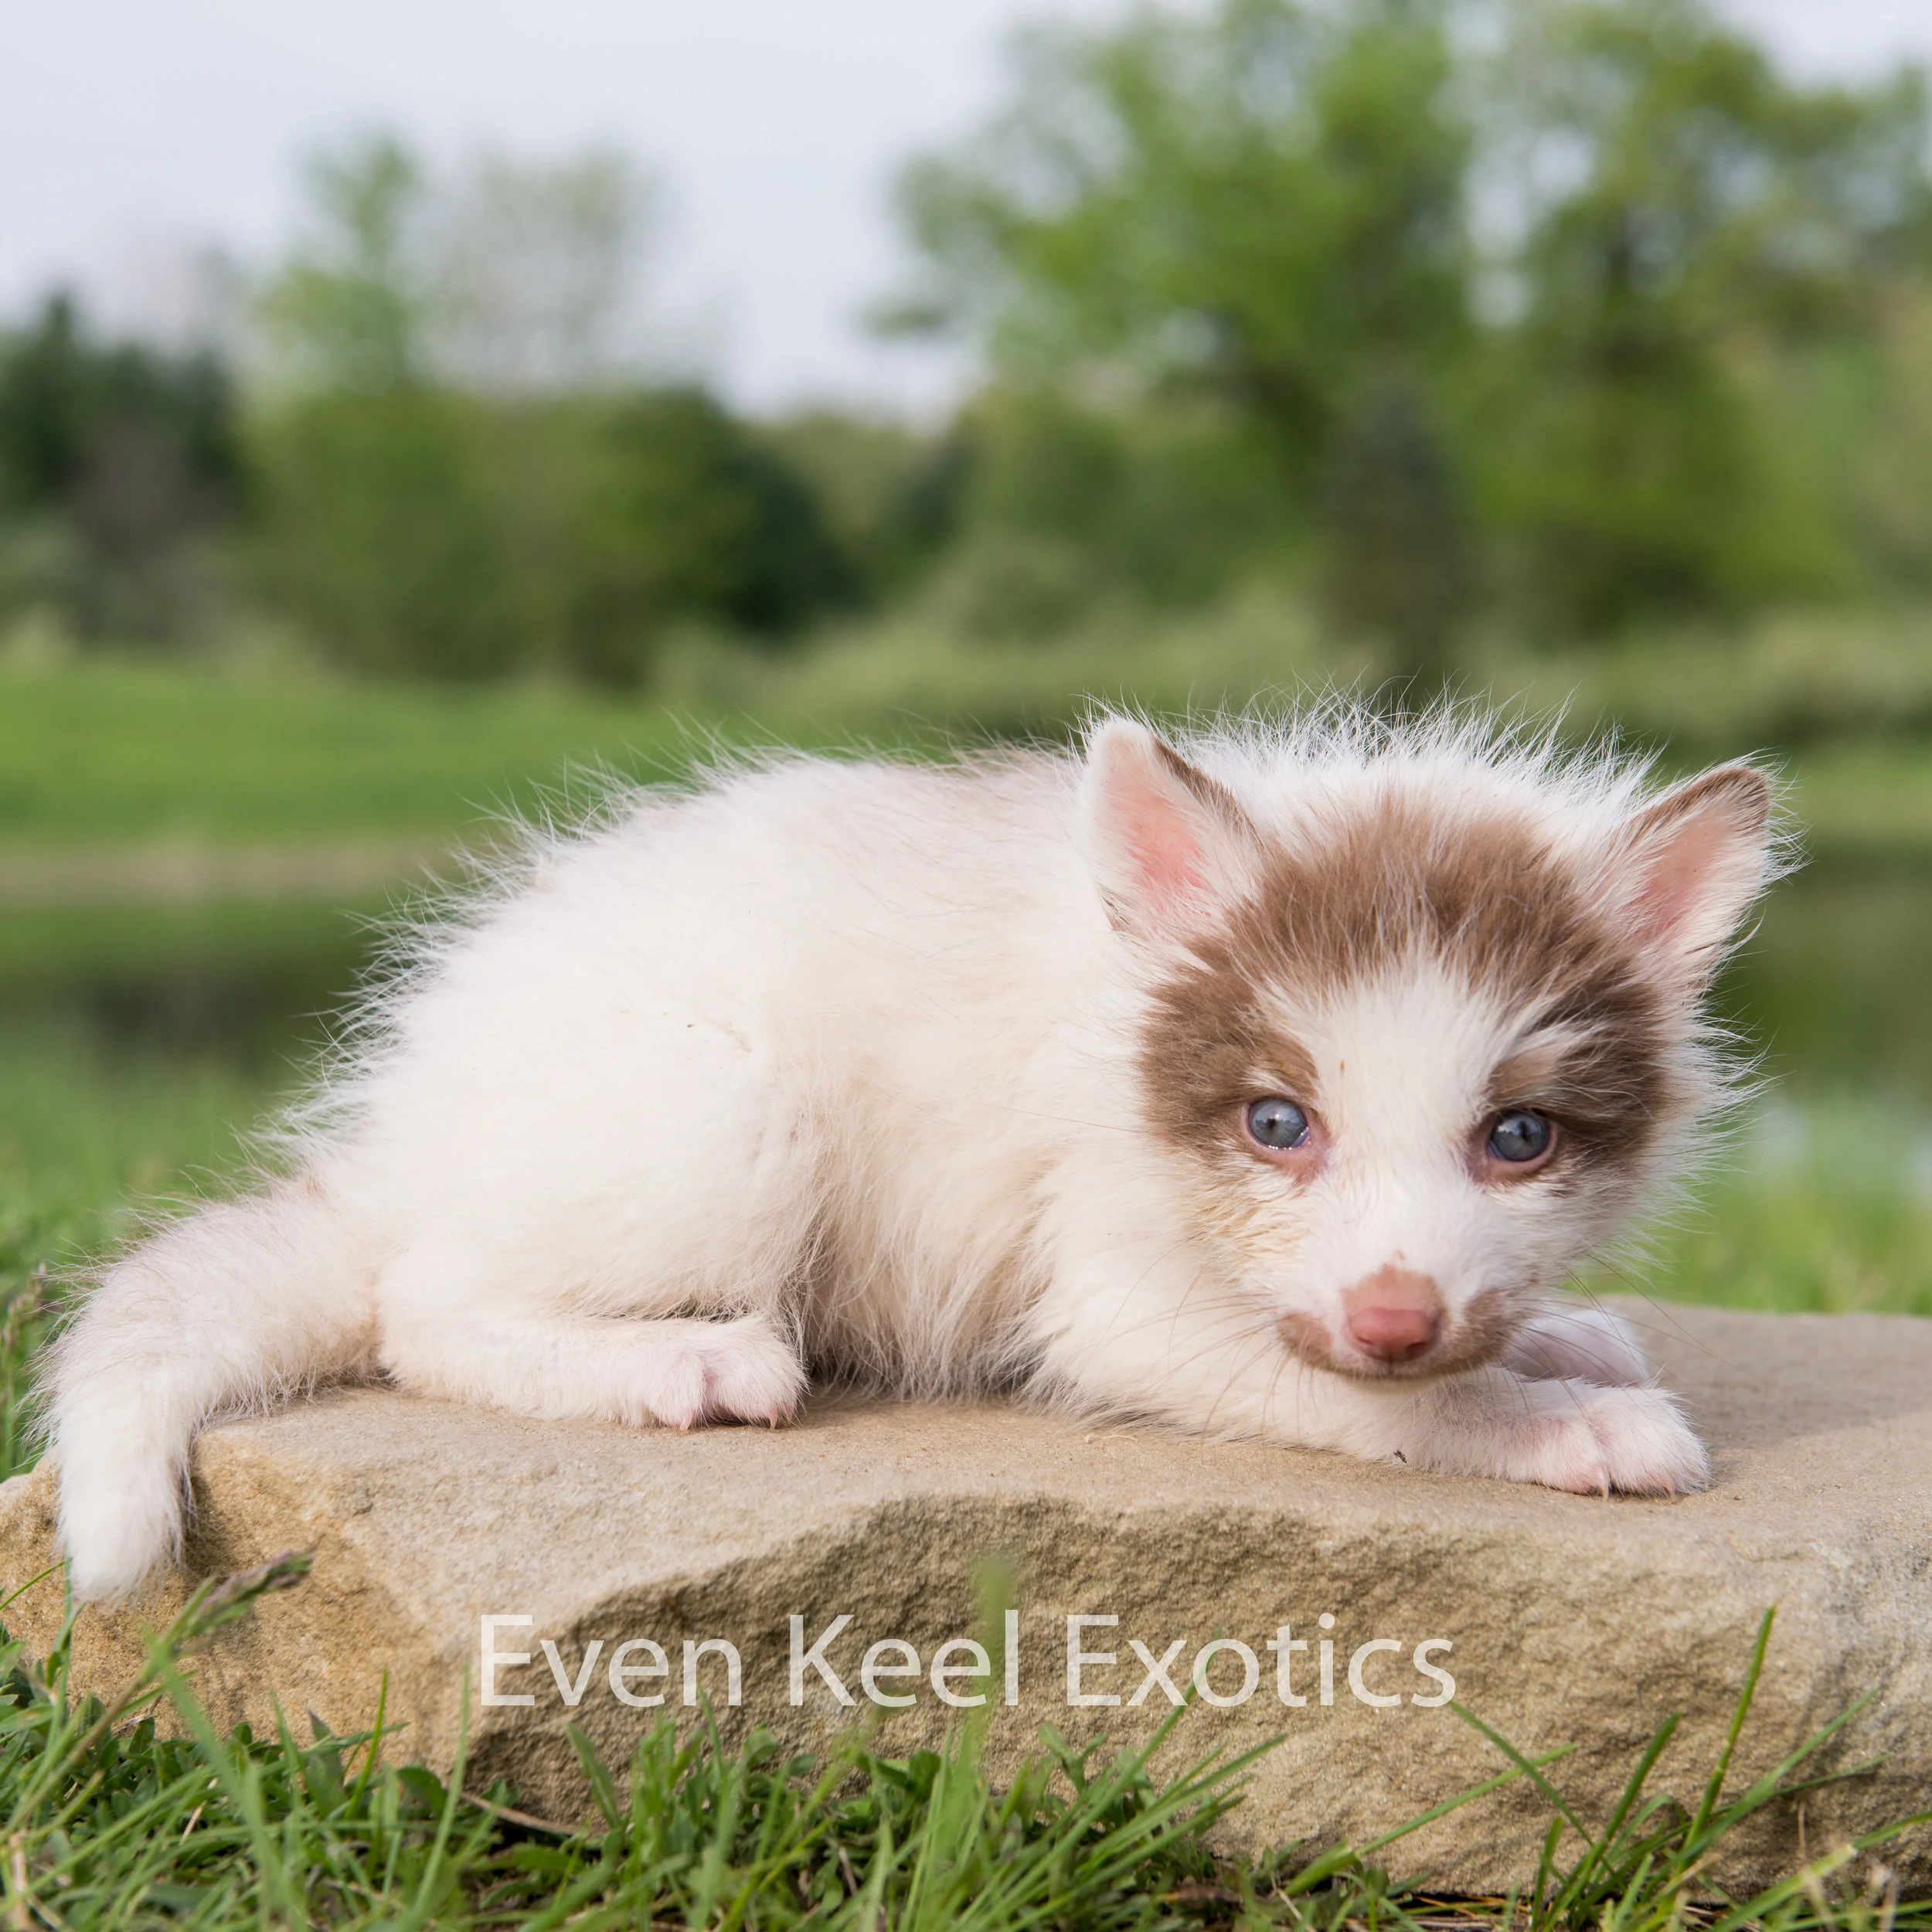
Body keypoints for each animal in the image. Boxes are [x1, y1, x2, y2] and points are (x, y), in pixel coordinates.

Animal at [47, 705, 1781, 1602]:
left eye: (1517, 1137)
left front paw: (1558, 1340)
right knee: (421, 1303)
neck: (1114, 1002)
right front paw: (1559, 1426)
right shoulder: (1111, 1300)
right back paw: (678, 1362)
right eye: (1277, 1123)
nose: (1398, 1317)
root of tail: (398, 1139)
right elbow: (1366, 1406)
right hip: (723, 1108)